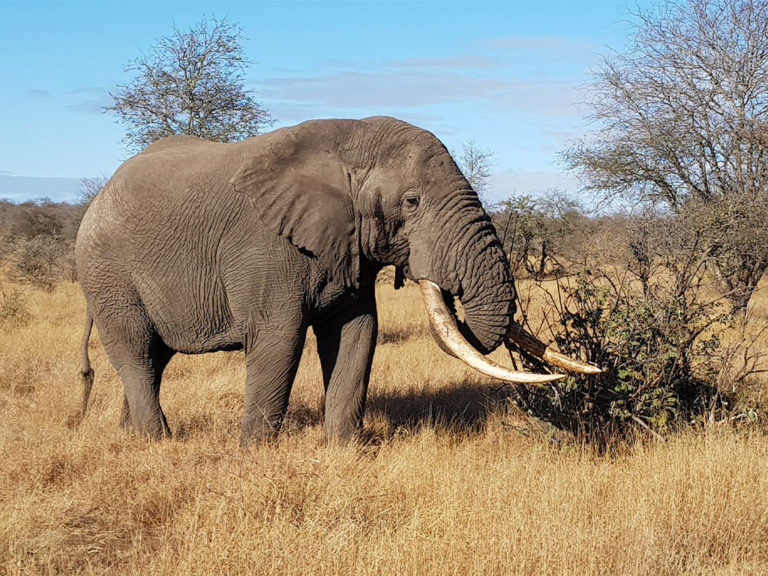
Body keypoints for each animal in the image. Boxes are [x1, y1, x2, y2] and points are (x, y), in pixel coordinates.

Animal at [76, 116, 599, 445]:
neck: (348, 141)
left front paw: (346, 449)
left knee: (154, 358)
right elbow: (278, 340)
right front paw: (256, 455)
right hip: (107, 273)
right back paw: (157, 442)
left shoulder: (349, 247)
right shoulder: (264, 245)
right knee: (136, 350)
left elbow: (358, 333)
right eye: (411, 202)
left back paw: (129, 435)